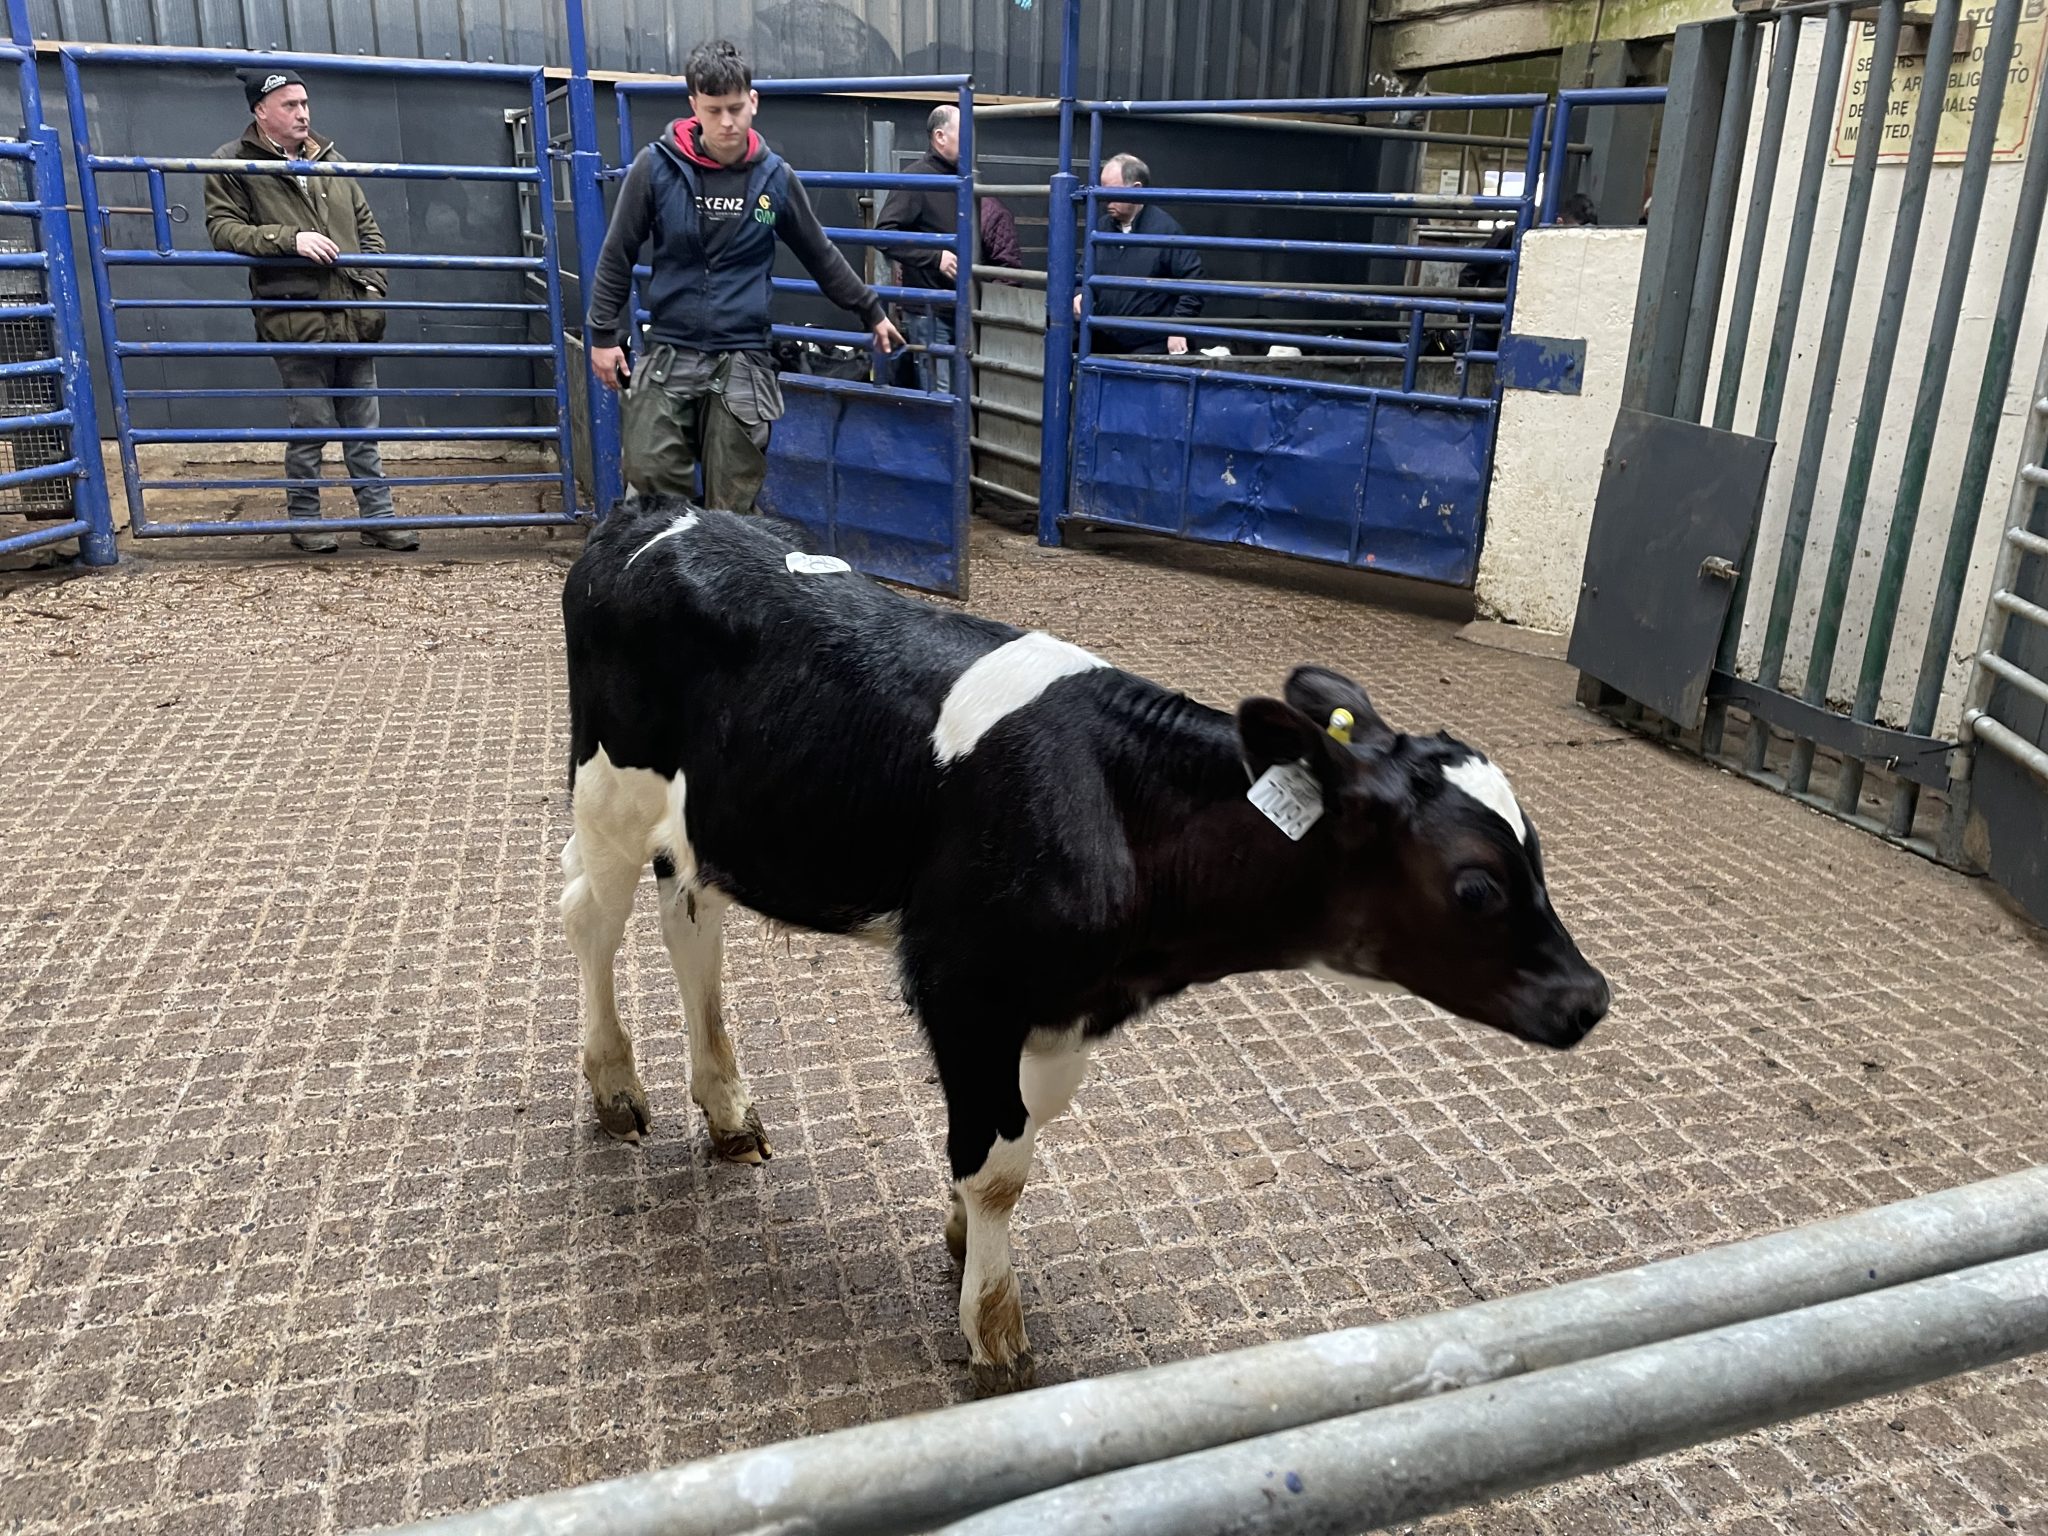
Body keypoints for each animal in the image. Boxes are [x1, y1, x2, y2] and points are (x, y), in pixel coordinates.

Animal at [559, 500, 1609, 1394]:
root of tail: (650, 516)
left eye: (1537, 852)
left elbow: (1013, 1141)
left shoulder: (1058, 1004)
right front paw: (995, 1330)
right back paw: (615, 1087)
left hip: (708, 825)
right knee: (592, 916)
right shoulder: (963, 983)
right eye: (1477, 885)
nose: (1589, 996)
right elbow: (998, 1162)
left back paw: (726, 1109)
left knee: (688, 922)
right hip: (608, 789)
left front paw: (961, 1245)